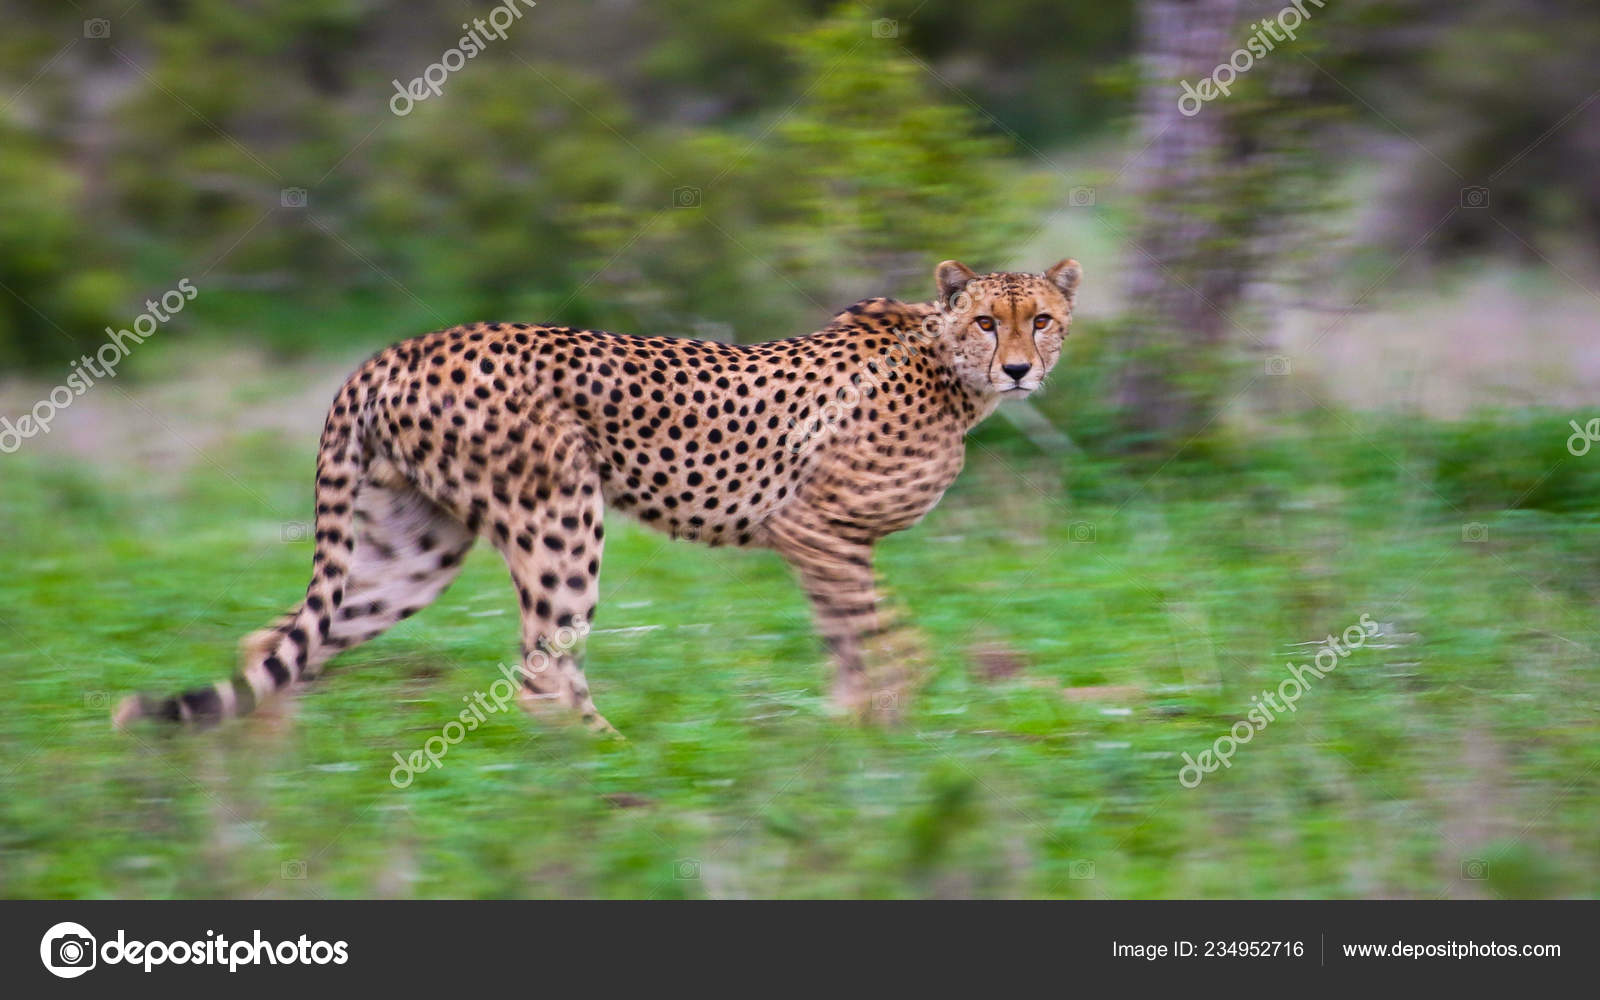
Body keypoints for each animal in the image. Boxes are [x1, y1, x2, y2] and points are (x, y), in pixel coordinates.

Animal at [114, 258, 1081, 733]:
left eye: (1042, 319)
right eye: (988, 321)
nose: (1022, 369)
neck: (947, 365)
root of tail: (396, 350)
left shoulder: (824, 545)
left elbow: (852, 646)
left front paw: (854, 742)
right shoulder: (817, 528)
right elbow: (889, 644)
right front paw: (894, 735)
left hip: (413, 545)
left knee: (278, 642)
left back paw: (270, 778)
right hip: (558, 514)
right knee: (545, 673)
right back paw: (621, 777)